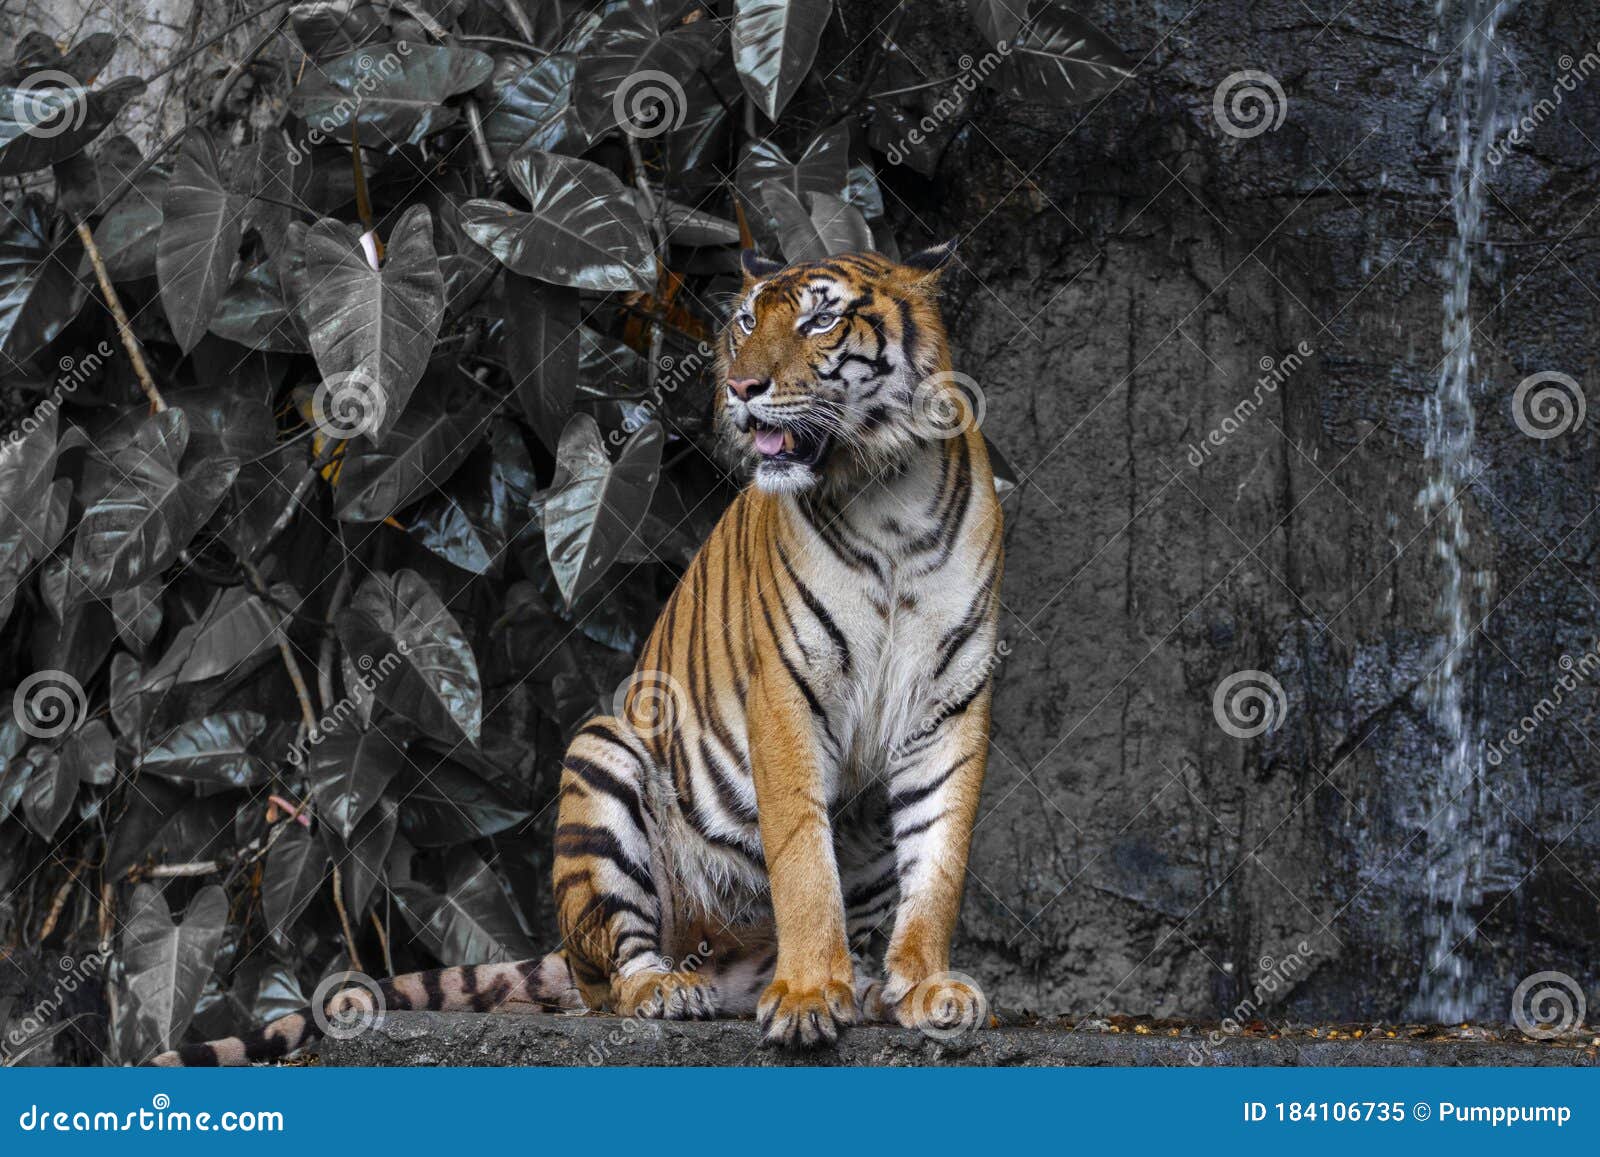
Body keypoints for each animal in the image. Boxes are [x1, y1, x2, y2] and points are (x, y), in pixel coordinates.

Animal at [154, 242, 1003, 1064]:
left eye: (821, 321)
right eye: (745, 320)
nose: (739, 386)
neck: (886, 499)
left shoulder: (950, 703)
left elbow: (940, 857)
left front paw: (924, 987)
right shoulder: (788, 692)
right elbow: (802, 861)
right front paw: (805, 997)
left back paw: (865, 987)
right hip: (605, 758)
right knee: (615, 973)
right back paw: (674, 989)